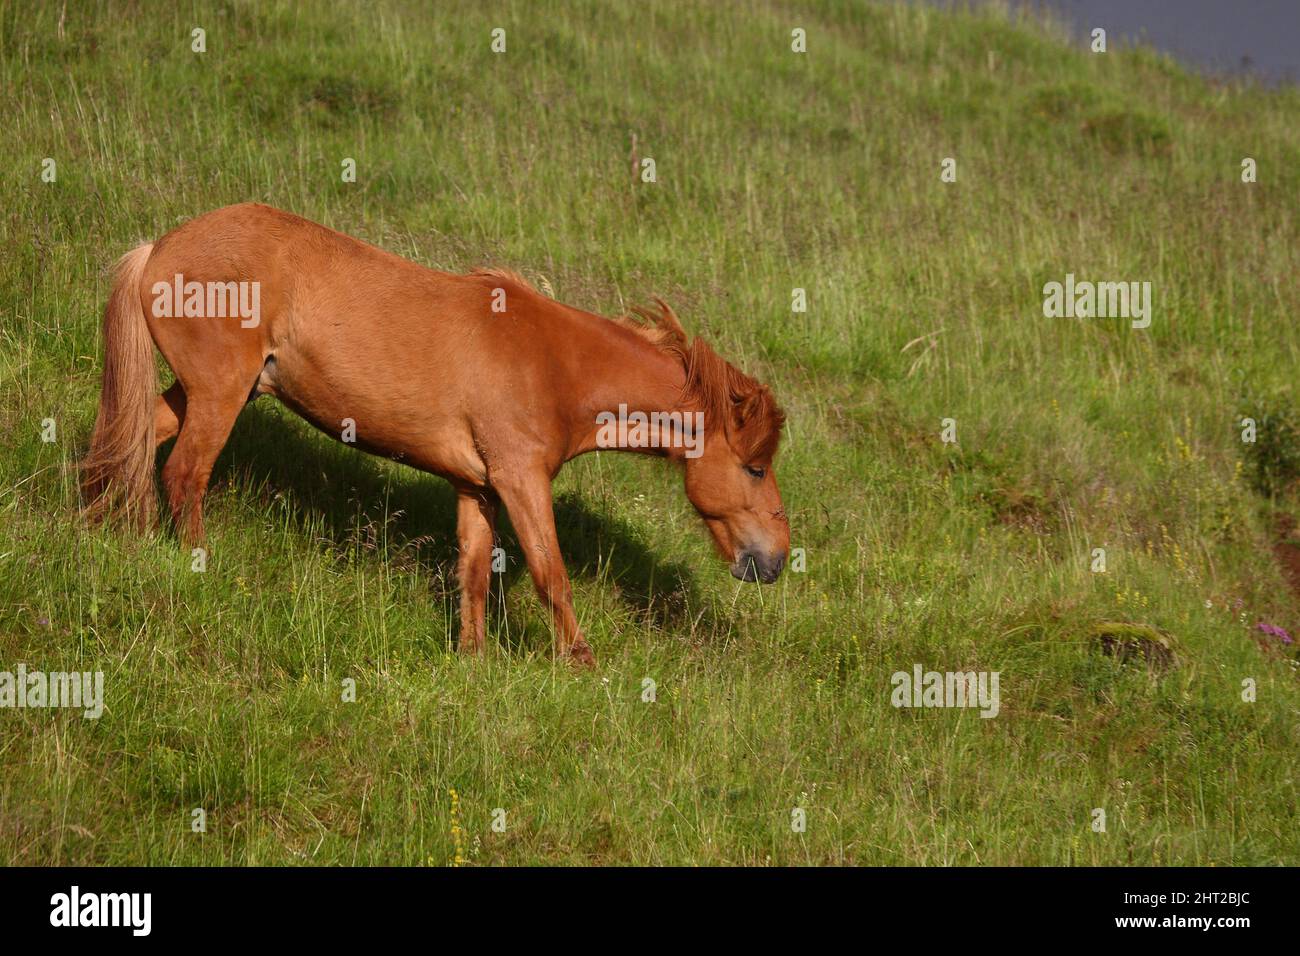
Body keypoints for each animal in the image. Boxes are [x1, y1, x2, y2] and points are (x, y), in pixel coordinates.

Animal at [80, 203, 789, 665]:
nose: (778, 559)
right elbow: (550, 574)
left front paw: (472, 662)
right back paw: (198, 563)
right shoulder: (520, 480)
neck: (553, 363)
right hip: (221, 396)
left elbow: (473, 572)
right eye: (755, 468)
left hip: (211, 392)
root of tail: (160, 248)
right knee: (184, 474)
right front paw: (582, 664)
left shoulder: (477, 487)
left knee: (125, 447)